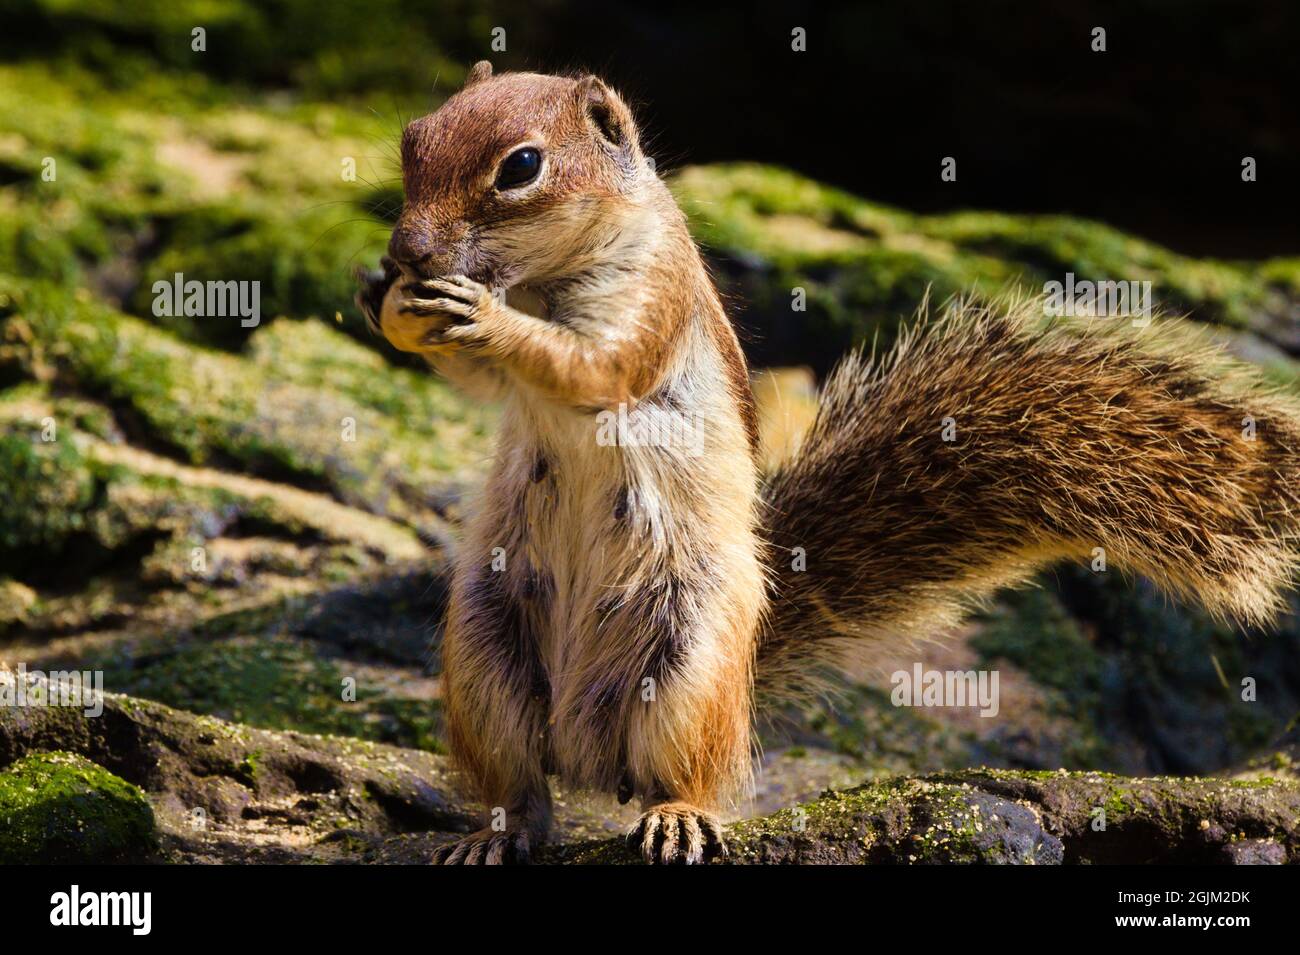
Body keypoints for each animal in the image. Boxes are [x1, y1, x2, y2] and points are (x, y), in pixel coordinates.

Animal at [357, 61, 1300, 865]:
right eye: (412, 137)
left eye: (521, 166)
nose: (405, 252)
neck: (538, 280)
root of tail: (592, 756)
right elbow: (483, 380)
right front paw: (384, 303)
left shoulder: (651, 295)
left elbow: (595, 366)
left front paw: (479, 316)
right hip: (486, 655)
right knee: (523, 789)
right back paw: (493, 832)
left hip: (687, 663)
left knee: (684, 774)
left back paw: (674, 815)